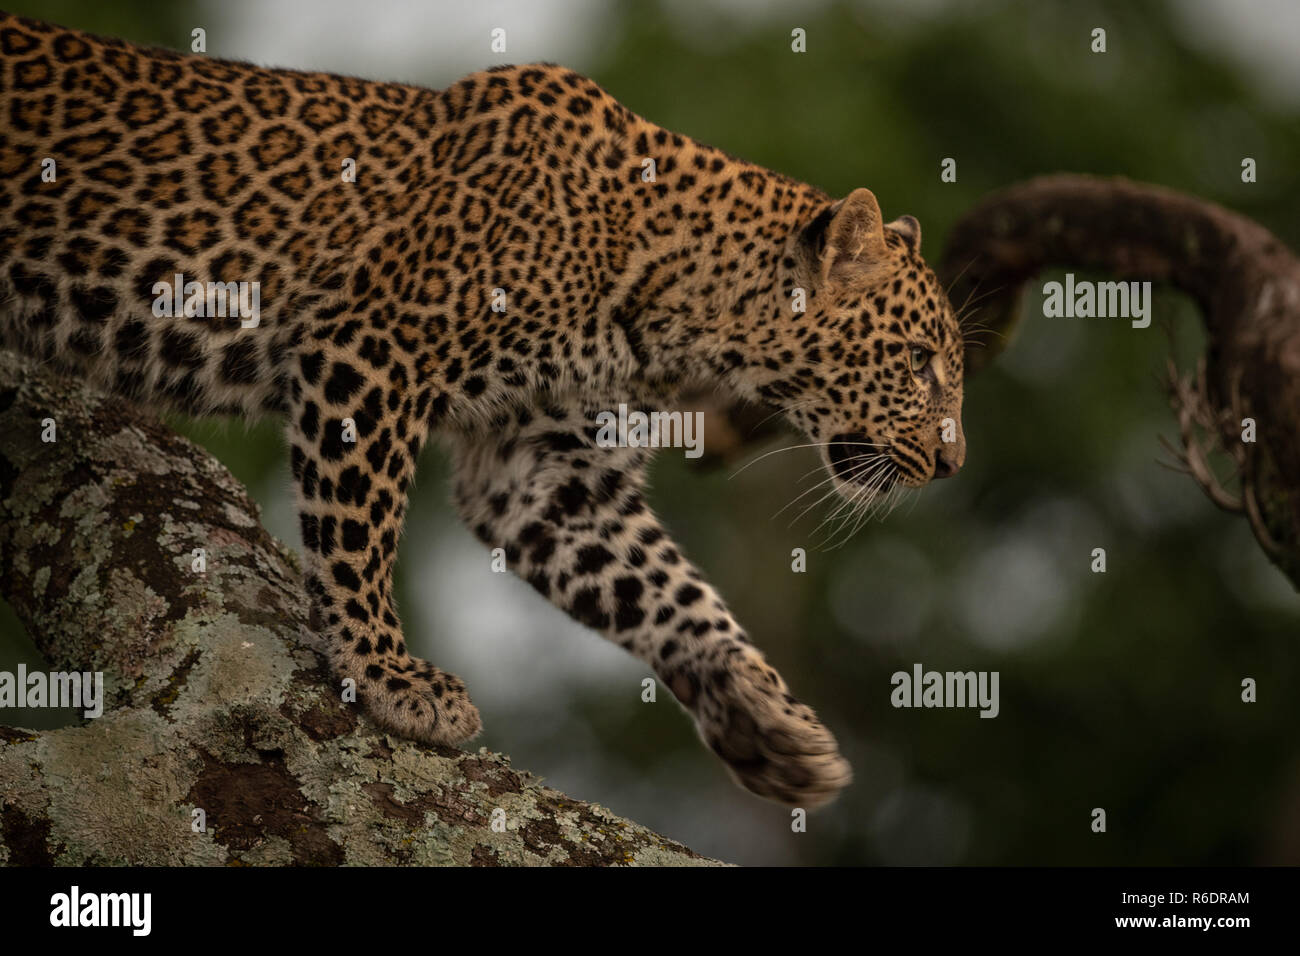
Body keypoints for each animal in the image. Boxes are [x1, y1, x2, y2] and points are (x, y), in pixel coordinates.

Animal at [0, 12, 966, 808]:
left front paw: (766, 723)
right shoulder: (371, 352)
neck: (676, 298)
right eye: (920, 364)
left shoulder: (547, 473)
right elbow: (358, 527)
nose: (952, 465)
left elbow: (674, 595)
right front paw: (388, 675)